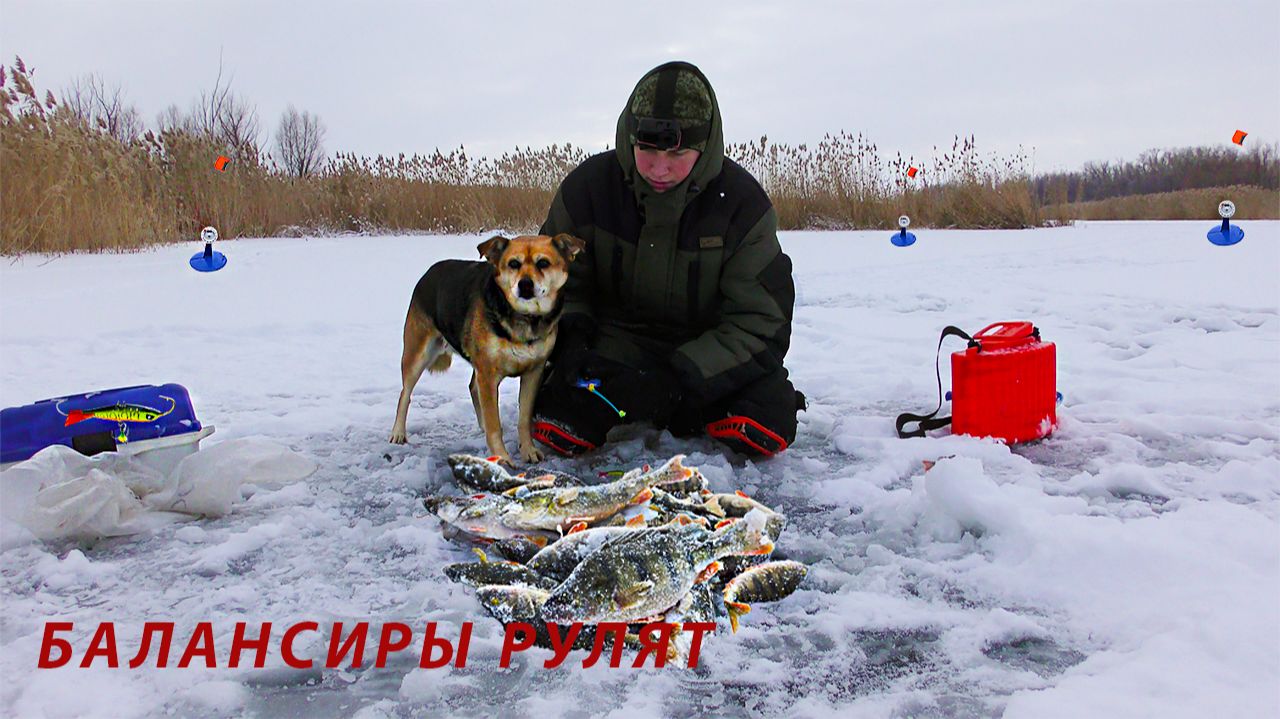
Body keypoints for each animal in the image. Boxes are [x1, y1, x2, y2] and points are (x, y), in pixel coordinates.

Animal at [390, 233, 585, 463]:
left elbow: (524, 418)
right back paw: (398, 433)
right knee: (405, 394)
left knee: (473, 388)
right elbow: (494, 425)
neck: (525, 318)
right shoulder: (488, 373)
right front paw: (501, 456)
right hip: (418, 353)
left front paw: (527, 449)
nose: (525, 285)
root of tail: (429, 272)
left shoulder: (534, 372)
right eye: (513, 264)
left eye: (543, 263)